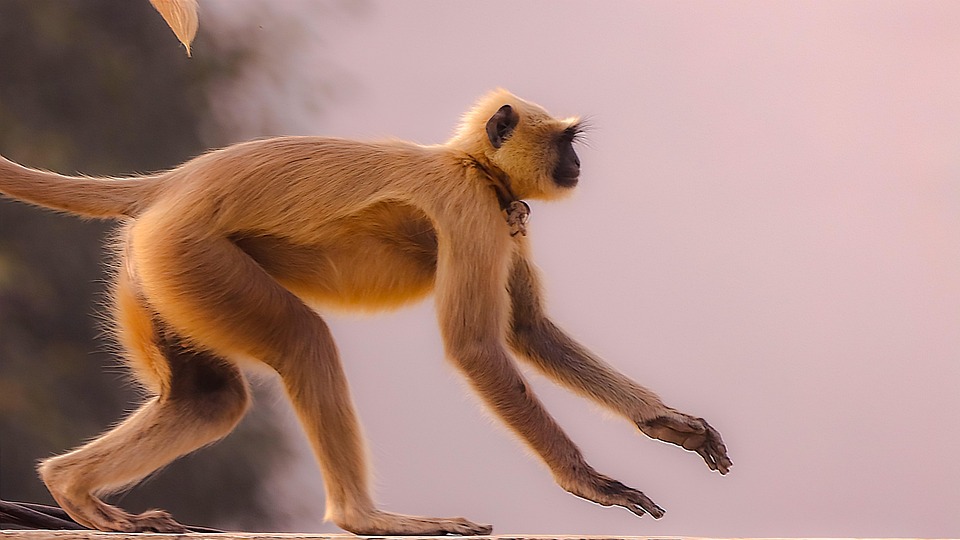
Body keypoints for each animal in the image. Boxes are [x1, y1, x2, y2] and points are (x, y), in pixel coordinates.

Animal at [0, 89, 732, 535]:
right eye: (565, 143)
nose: (575, 164)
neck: (468, 163)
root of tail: (176, 183)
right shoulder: (471, 208)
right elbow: (477, 348)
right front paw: (587, 481)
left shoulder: (506, 213)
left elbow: (526, 330)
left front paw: (667, 425)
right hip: (190, 256)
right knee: (305, 342)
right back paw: (366, 517)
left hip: (156, 275)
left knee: (209, 400)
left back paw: (72, 489)